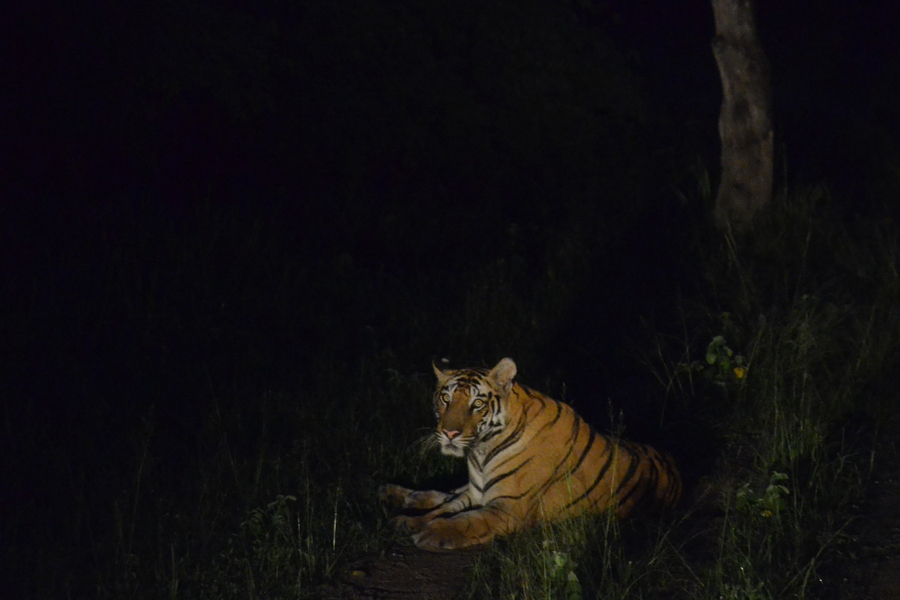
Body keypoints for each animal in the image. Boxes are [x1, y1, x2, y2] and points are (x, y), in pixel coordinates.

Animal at [379, 357, 682, 551]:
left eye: (477, 404)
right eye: (446, 398)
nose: (449, 433)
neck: (480, 453)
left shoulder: (508, 508)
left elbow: (464, 521)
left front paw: (429, 533)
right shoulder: (476, 492)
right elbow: (445, 507)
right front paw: (407, 522)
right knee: (440, 493)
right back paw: (392, 492)